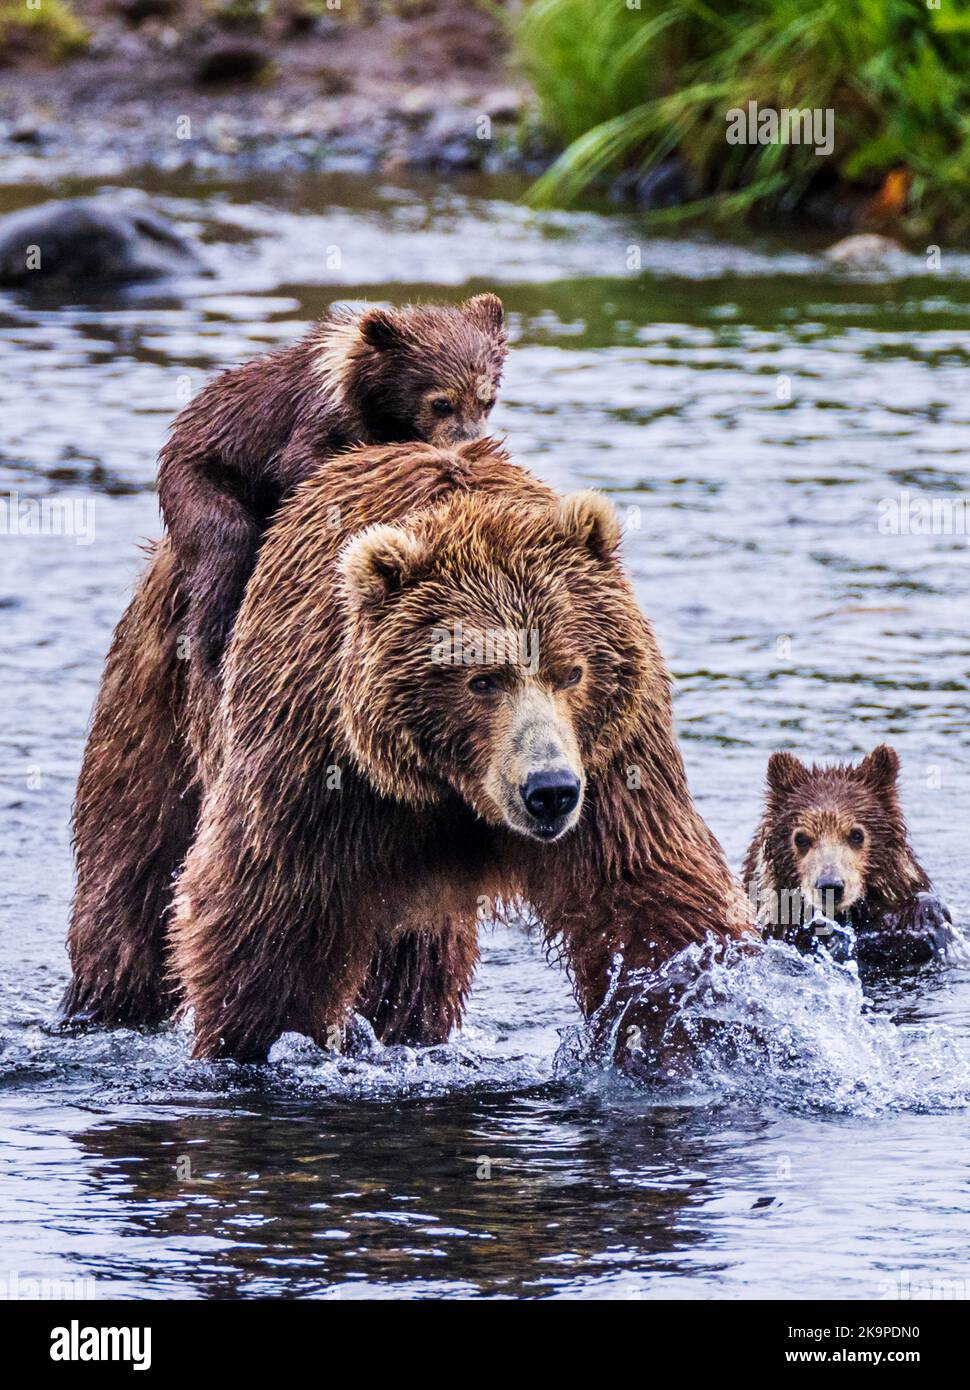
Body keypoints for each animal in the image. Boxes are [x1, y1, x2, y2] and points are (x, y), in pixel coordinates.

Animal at [61, 296, 506, 1032]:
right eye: (440, 399)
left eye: (487, 396)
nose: (467, 439)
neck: (368, 393)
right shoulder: (308, 421)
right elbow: (308, 459)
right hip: (196, 493)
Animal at [167, 437, 754, 1069]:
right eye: (482, 680)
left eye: (571, 672)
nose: (549, 791)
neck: (456, 796)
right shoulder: (318, 766)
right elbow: (272, 922)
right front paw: (258, 1038)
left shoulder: (613, 767)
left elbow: (649, 898)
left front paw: (695, 1025)